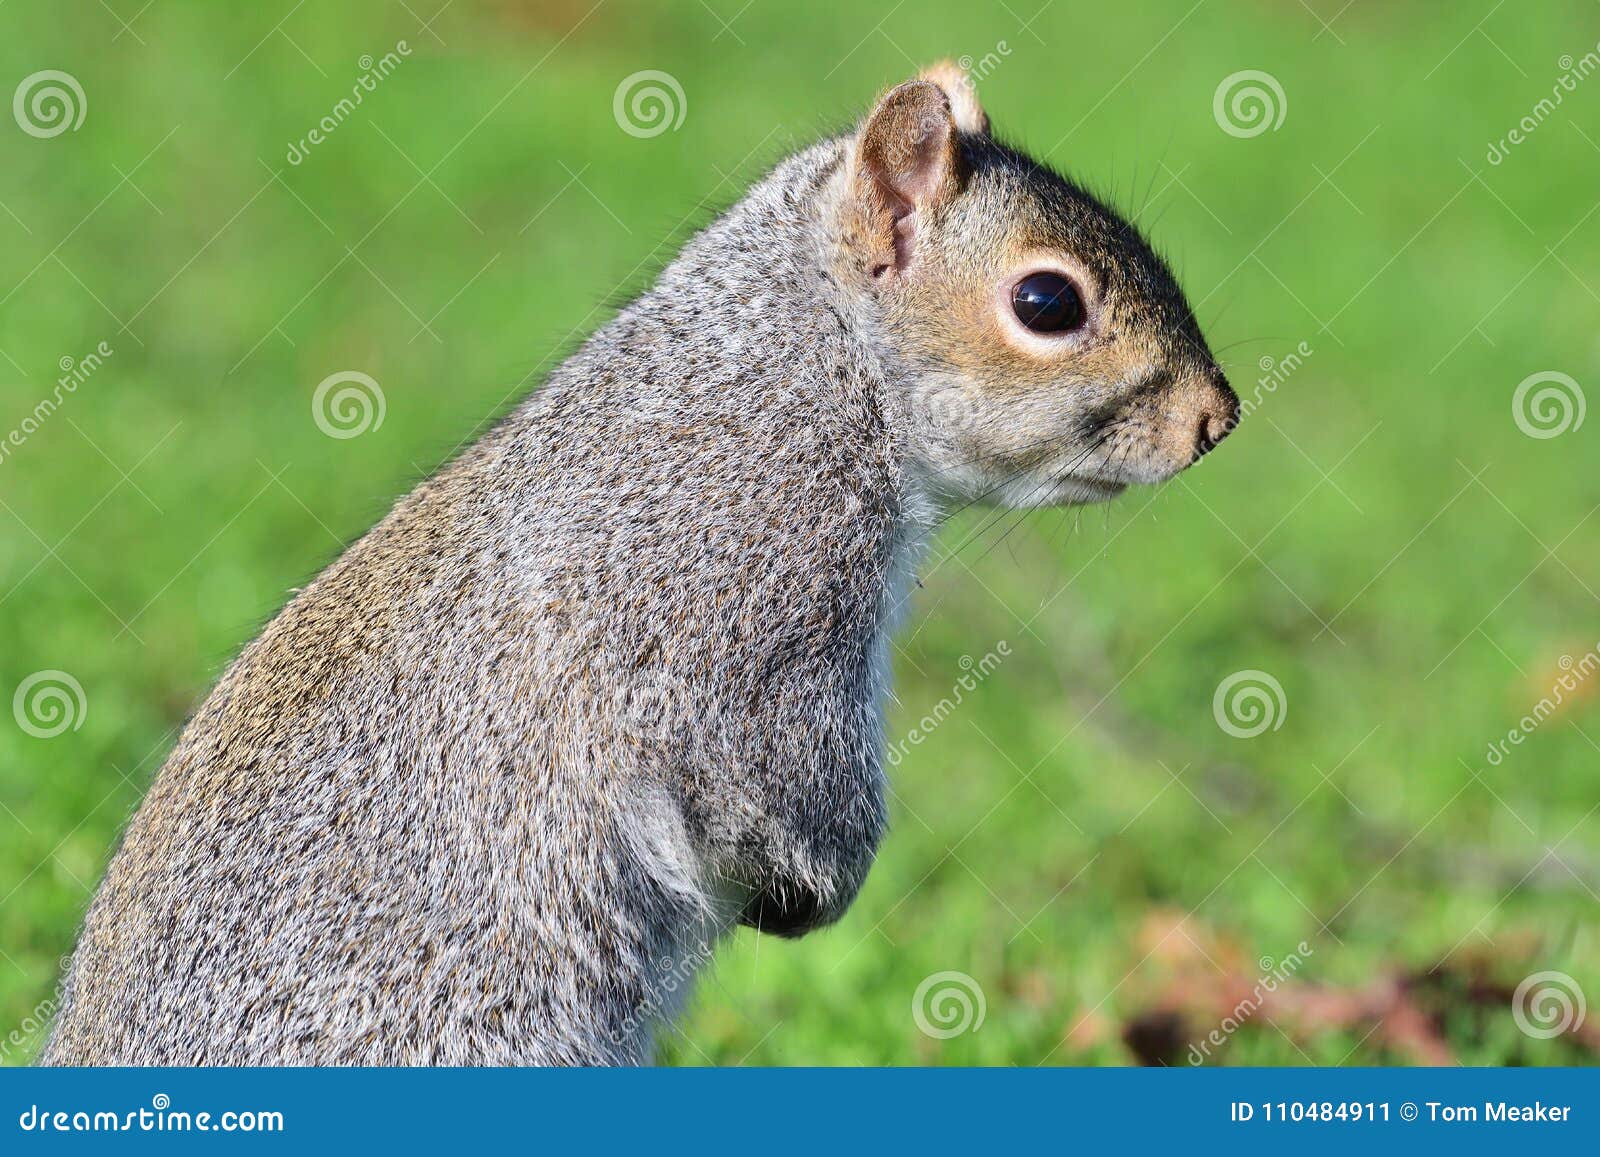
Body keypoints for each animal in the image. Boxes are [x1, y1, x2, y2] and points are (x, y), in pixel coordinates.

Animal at [41, 62, 1237, 1066]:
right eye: (1047, 302)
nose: (1215, 419)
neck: (804, 368)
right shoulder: (741, 607)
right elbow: (779, 773)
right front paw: (816, 886)